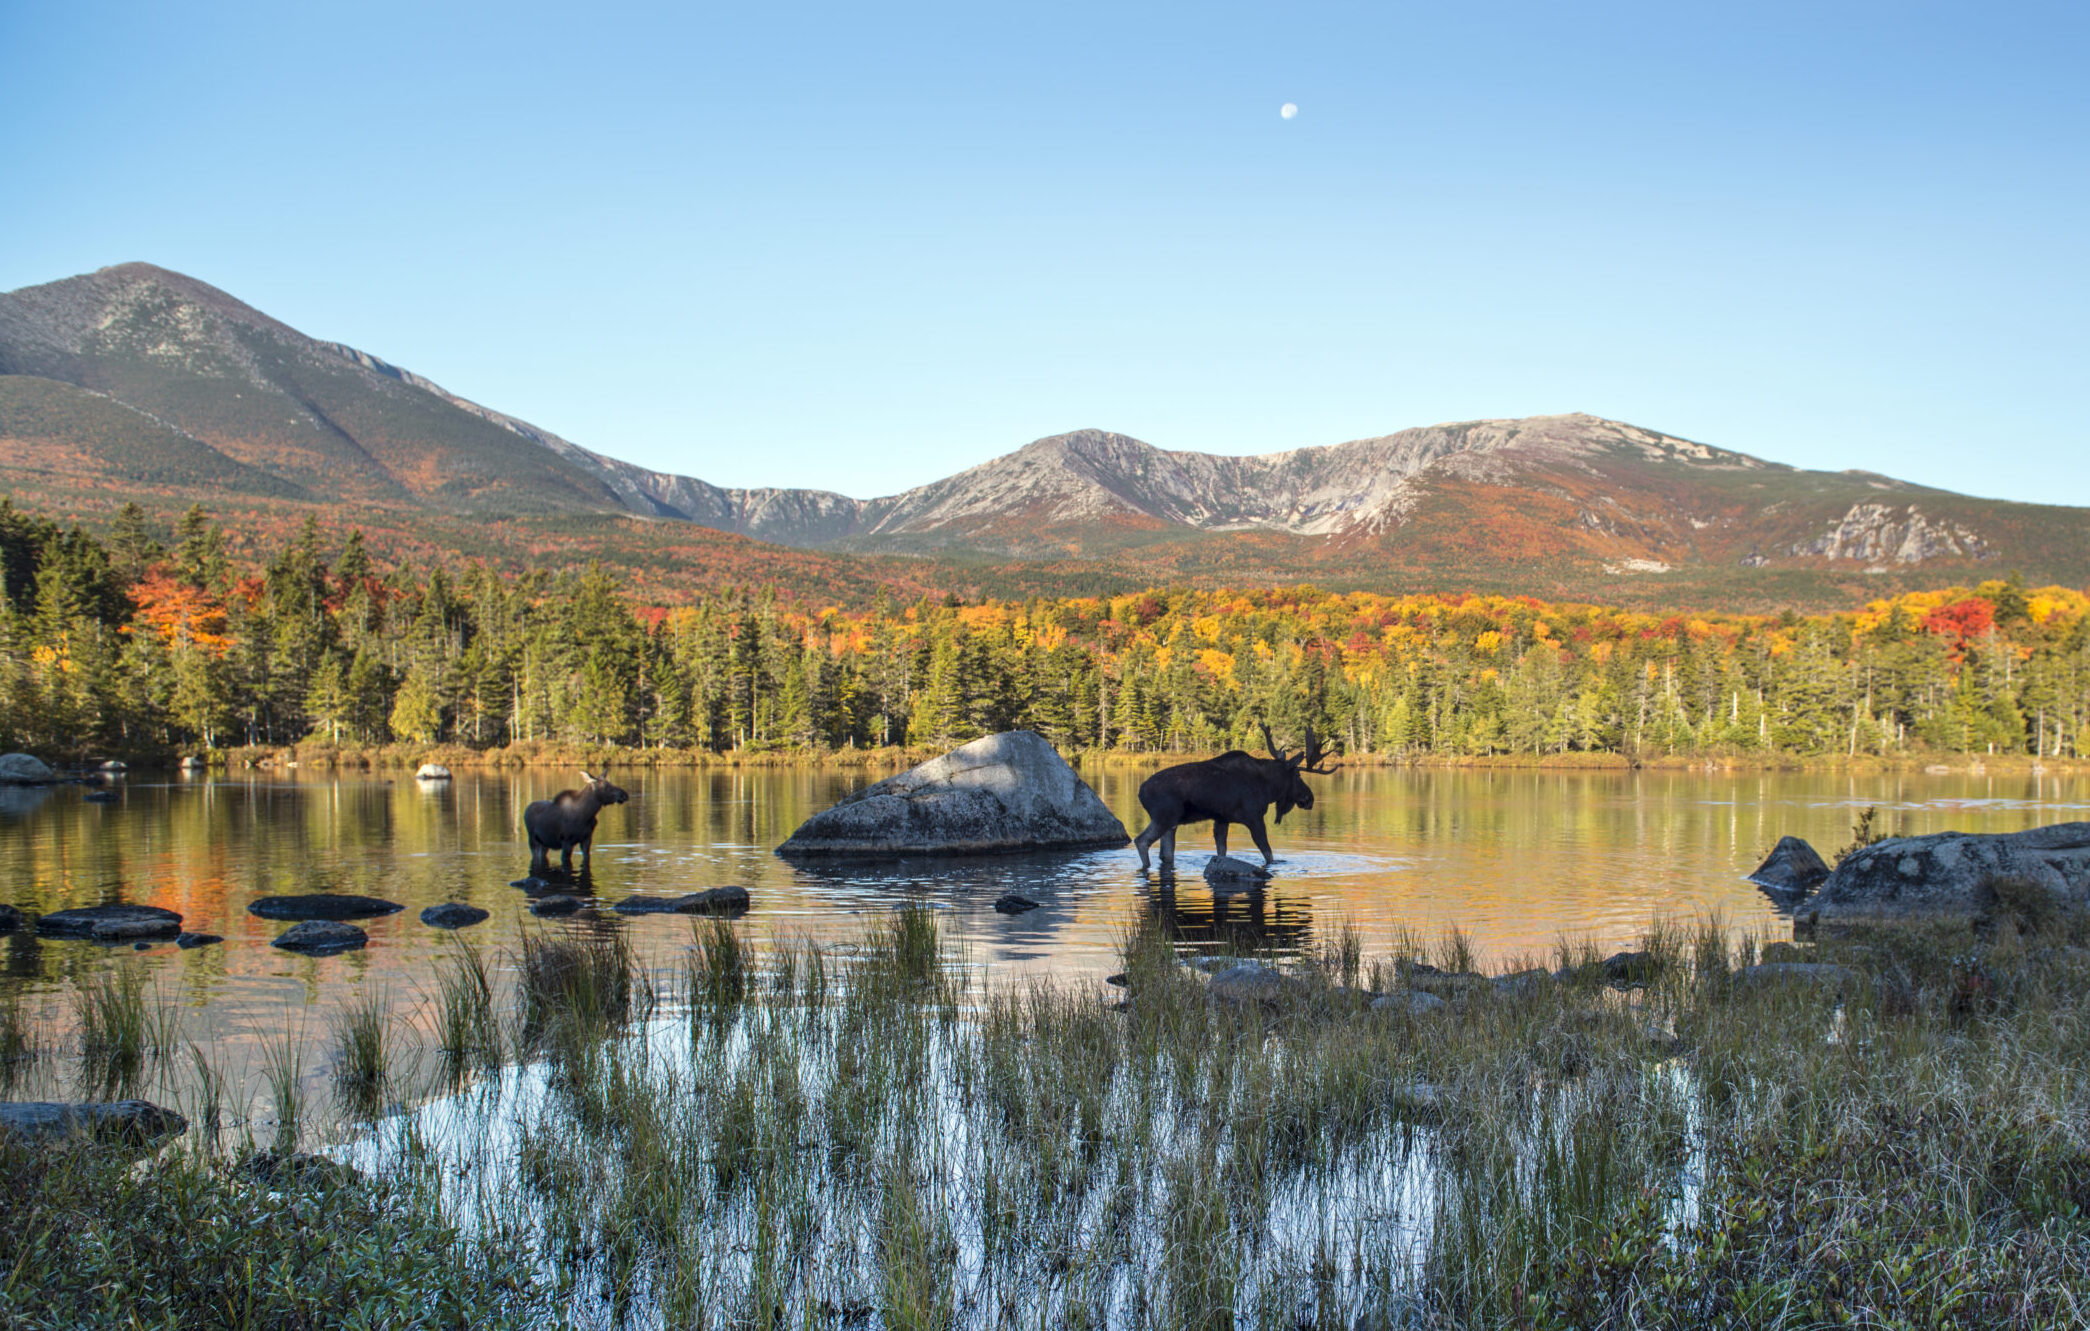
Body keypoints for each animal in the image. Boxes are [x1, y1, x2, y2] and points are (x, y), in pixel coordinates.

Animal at [1132, 723, 1341, 872]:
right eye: (1298, 776)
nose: (1309, 798)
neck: (1268, 788)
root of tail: (1140, 792)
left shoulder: (1222, 819)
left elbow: (1222, 851)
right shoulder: (1254, 817)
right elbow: (1268, 853)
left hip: (1172, 823)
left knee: (1166, 854)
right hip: (1165, 816)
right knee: (1141, 841)